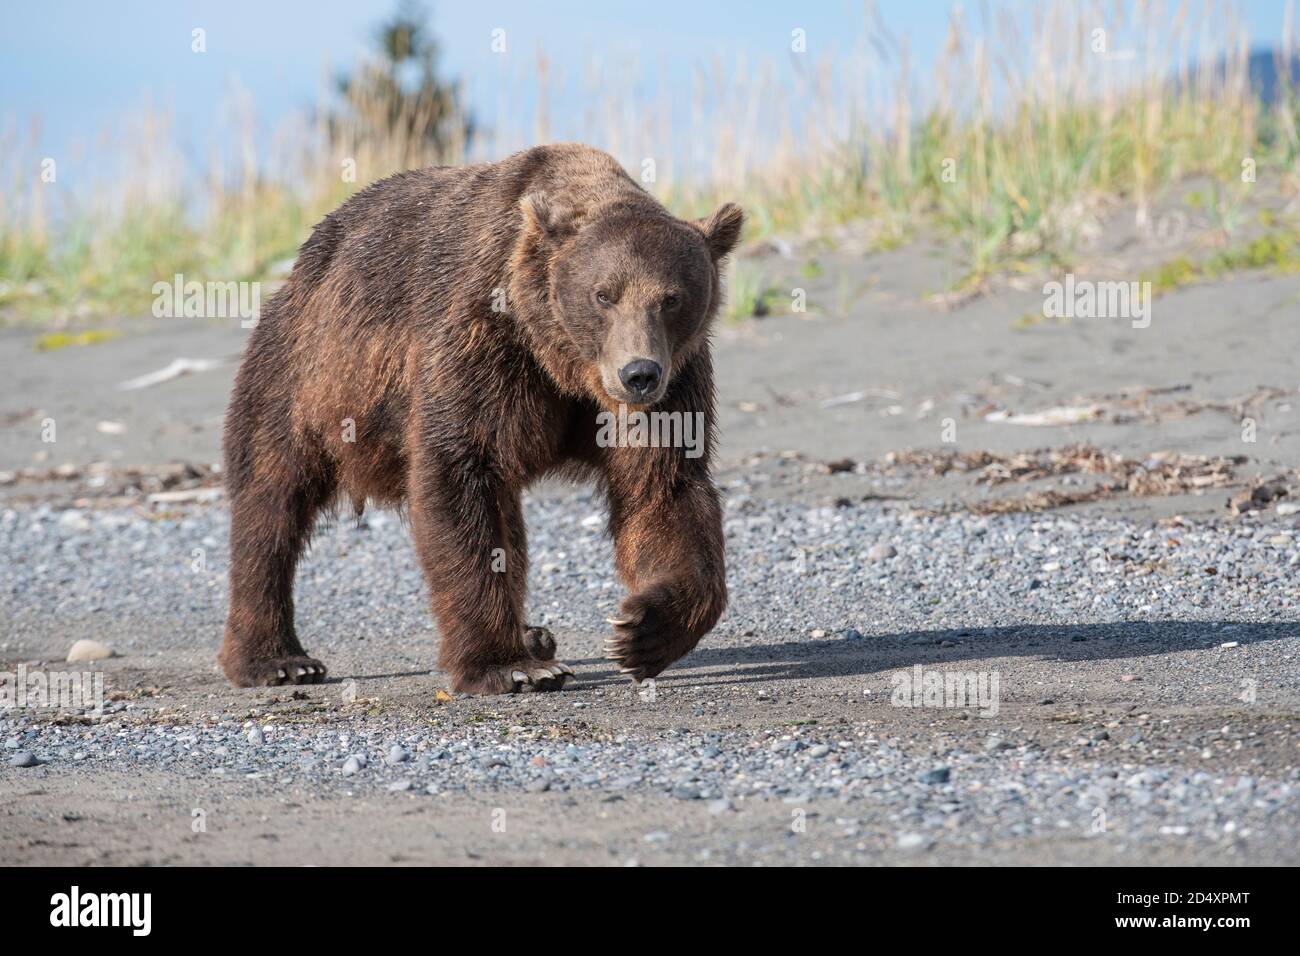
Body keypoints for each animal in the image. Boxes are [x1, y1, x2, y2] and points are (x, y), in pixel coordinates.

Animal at [218, 143, 743, 695]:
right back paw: (277, 659)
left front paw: (642, 632)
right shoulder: (481, 339)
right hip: (302, 376)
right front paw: (506, 665)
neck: (560, 360)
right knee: (272, 501)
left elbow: (663, 487)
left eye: (671, 298)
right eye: (604, 294)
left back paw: (535, 635)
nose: (638, 373)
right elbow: (459, 470)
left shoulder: (672, 384)